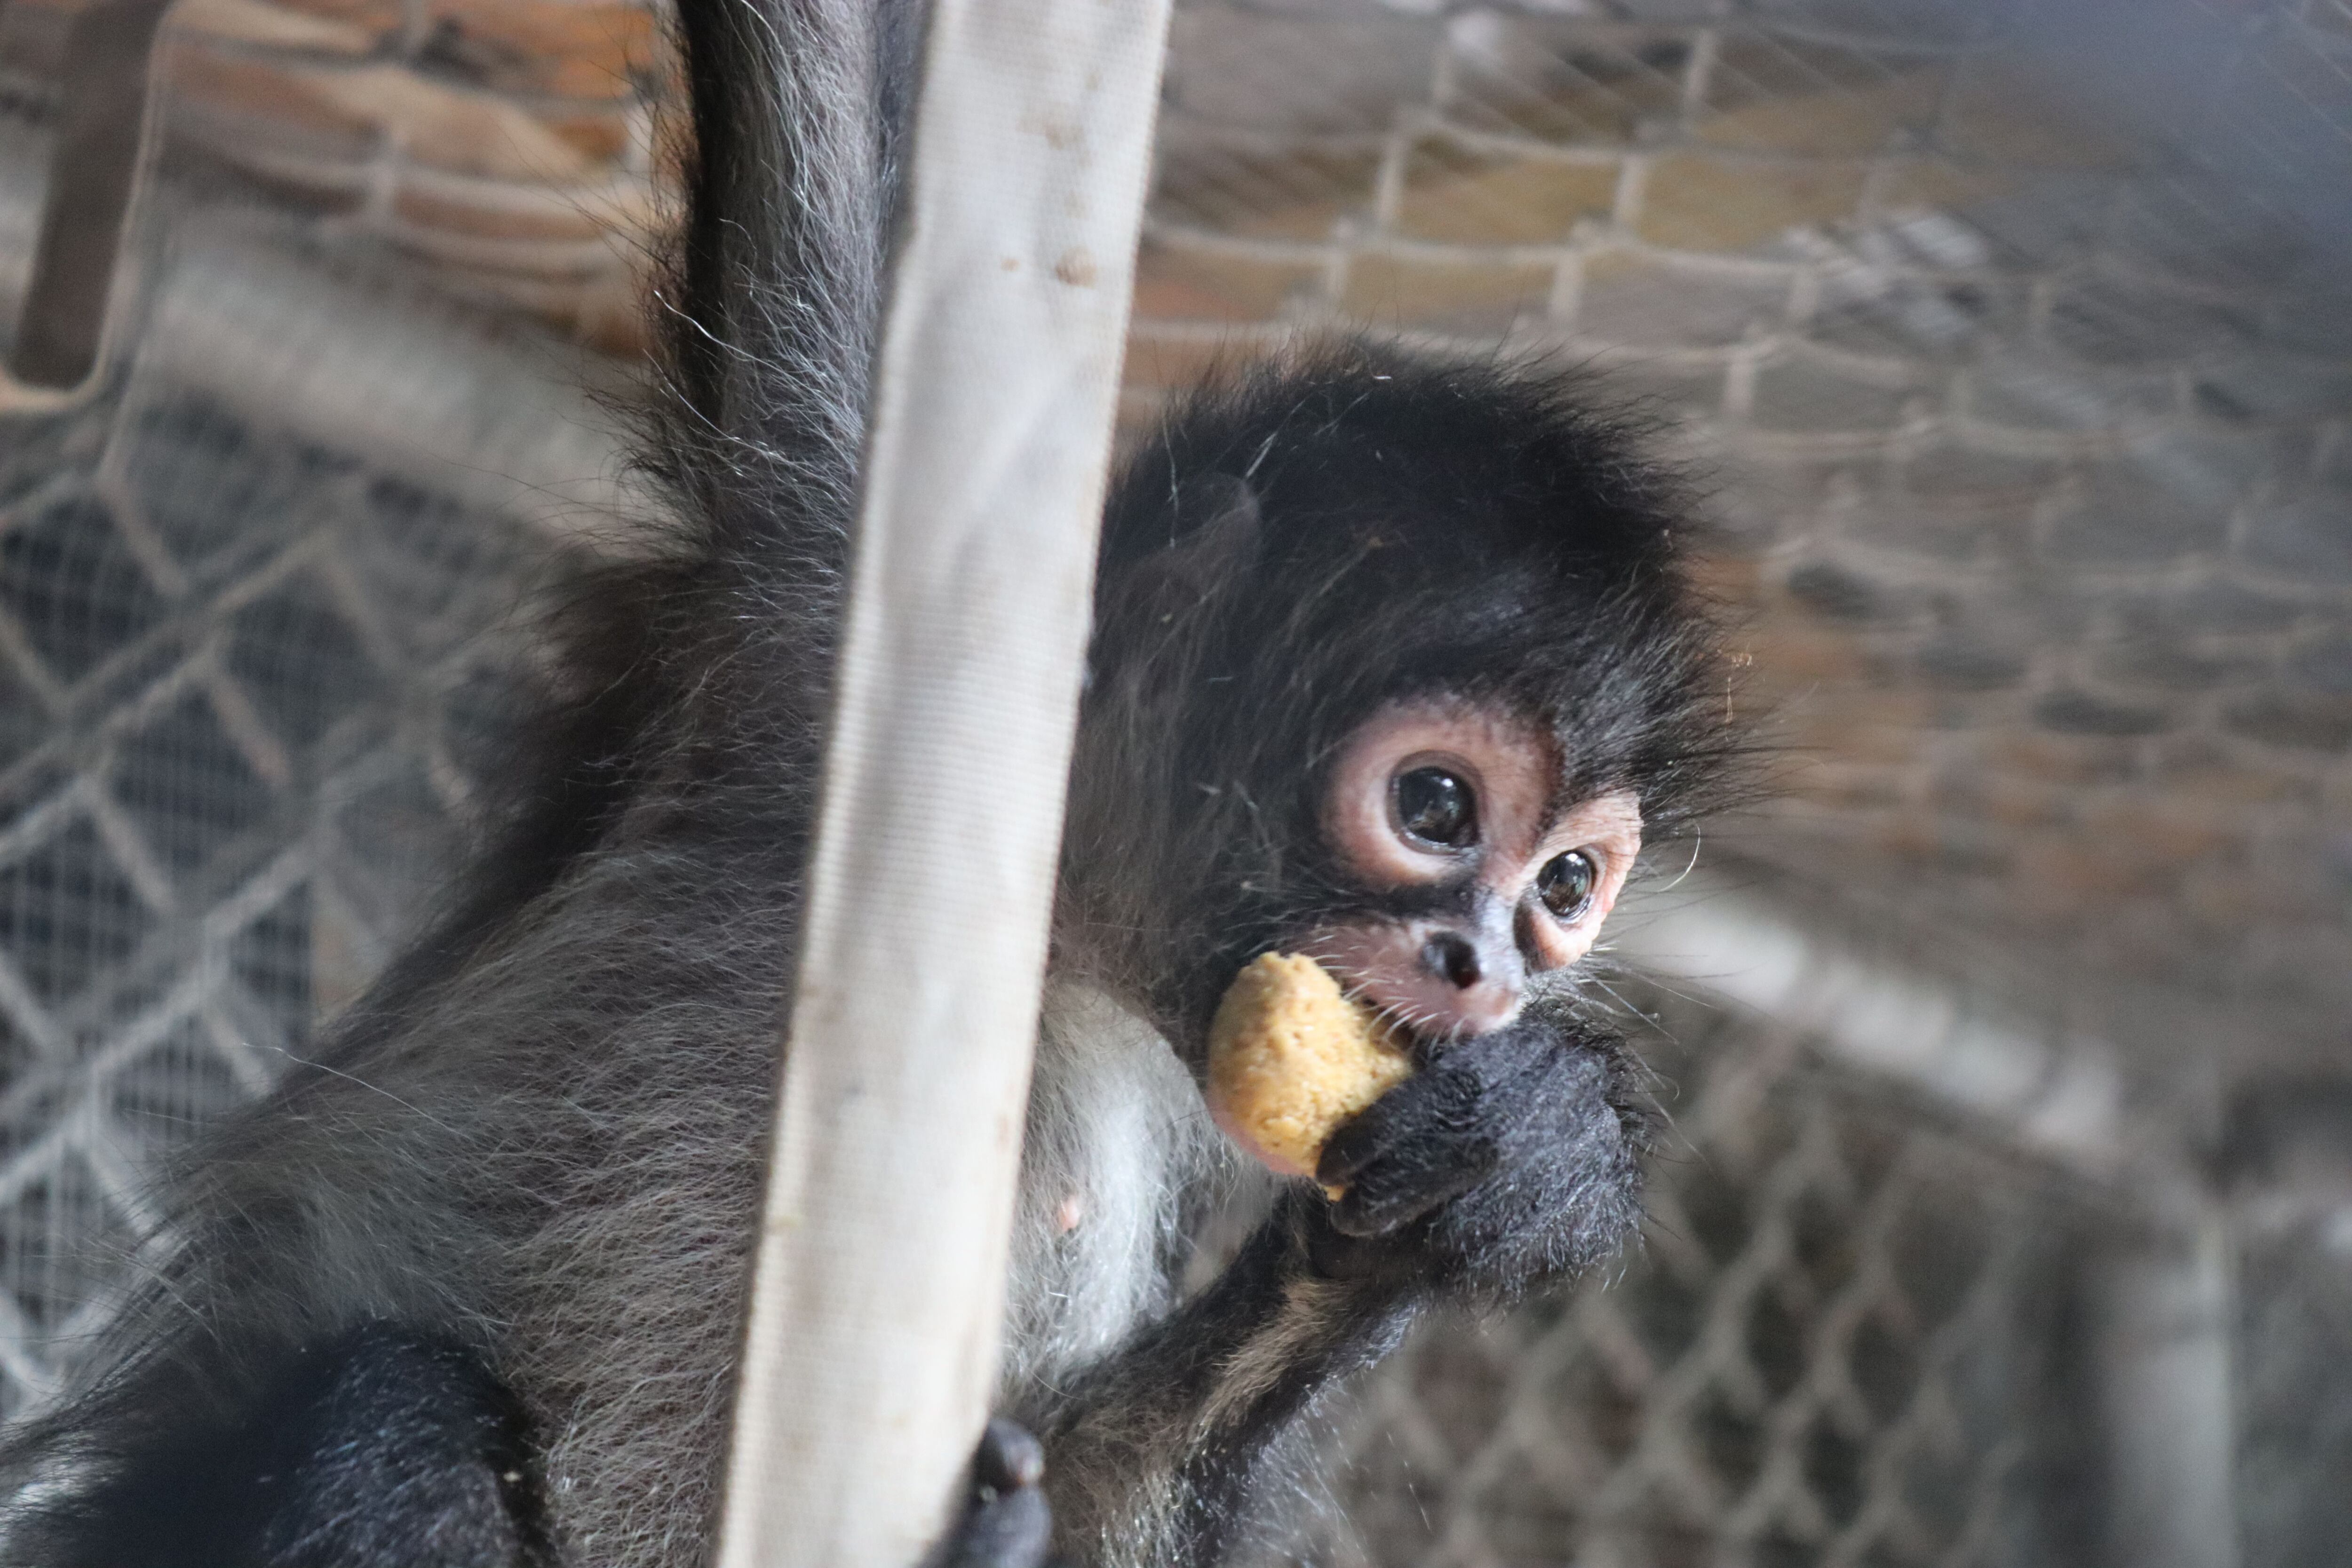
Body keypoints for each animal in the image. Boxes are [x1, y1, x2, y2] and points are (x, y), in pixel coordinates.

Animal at [0, 0, 1739, 1564]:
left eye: (1567, 886)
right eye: (1436, 808)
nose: (1488, 961)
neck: (1038, 936)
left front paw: (1518, 1163)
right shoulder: (829, 610)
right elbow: (818, 75)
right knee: (393, 1415)